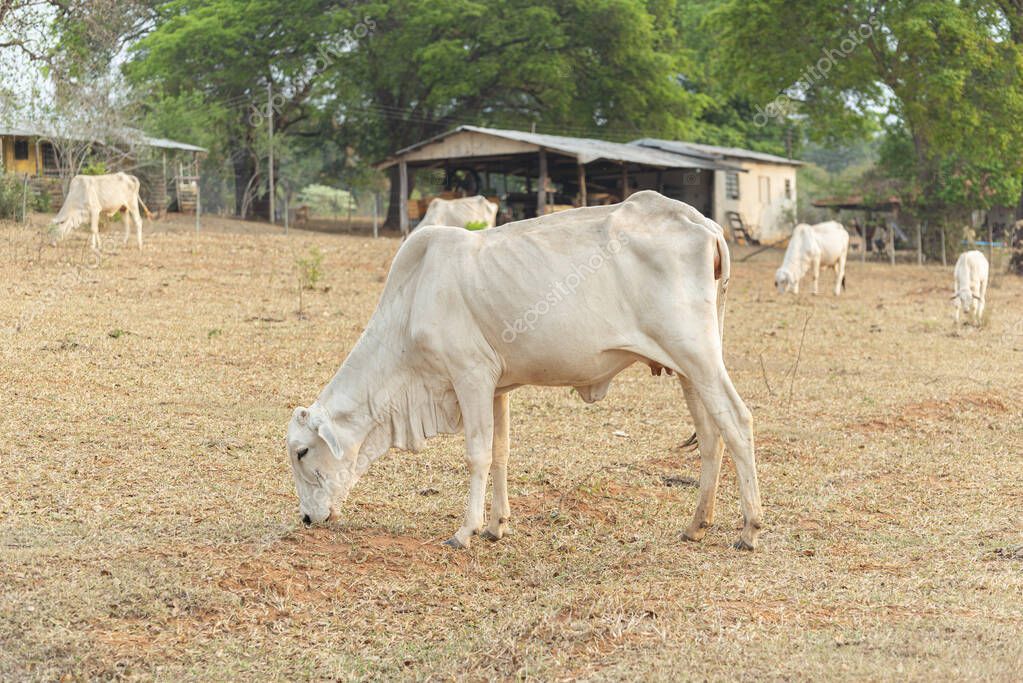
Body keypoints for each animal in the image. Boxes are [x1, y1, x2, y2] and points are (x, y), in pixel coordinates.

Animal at [285, 191, 763, 552]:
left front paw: (466, 531)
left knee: (738, 421)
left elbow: (477, 454)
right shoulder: (498, 388)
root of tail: (704, 224)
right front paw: (497, 525)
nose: (308, 518)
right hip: (686, 368)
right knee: (711, 434)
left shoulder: (471, 376)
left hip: (698, 356)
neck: (413, 300)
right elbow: (500, 452)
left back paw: (750, 528)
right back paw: (696, 524)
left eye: (302, 452)